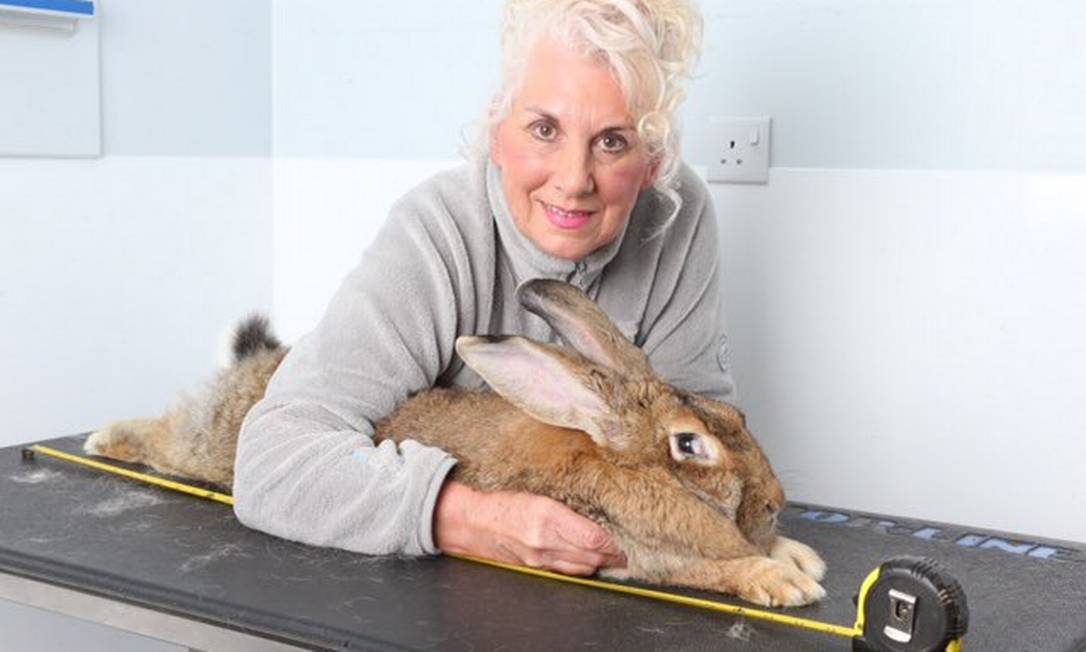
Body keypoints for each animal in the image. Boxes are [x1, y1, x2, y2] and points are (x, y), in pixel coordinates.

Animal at [85, 279, 826, 607]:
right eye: (690, 446)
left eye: (735, 416)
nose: (774, 502)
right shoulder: (633, 554)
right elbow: (705, 569)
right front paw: (784, 583)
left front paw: (799, 555)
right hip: (210, 450)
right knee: (164, 436)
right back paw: (103, 436)